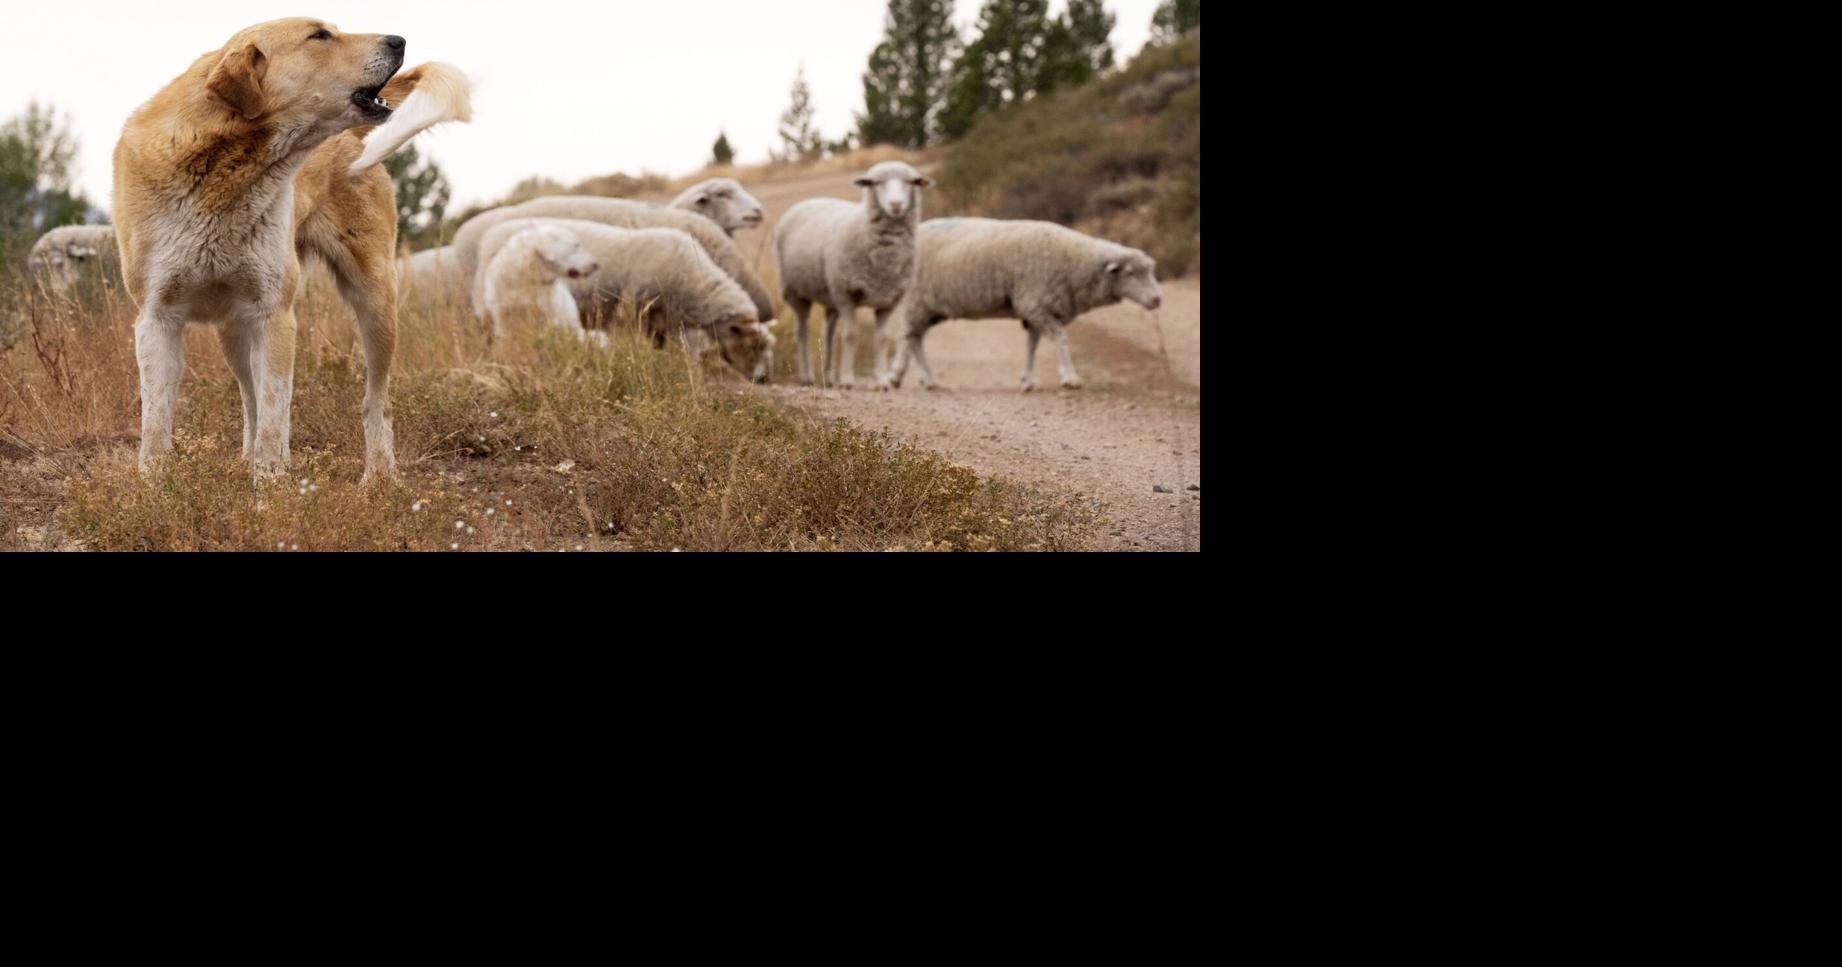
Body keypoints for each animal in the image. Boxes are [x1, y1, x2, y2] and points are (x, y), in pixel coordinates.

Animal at [474, 218, 775, 382]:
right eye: (752, 347)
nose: (762, 380)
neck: (691, 278)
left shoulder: (671, 316)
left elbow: (682, 349)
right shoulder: (642, 308)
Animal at [772, 161, 932, 390]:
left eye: (912, 182)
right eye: (876, 183)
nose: (896, 204)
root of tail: (807, 200)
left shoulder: (888, 300)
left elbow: (882, 339)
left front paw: (881, 380)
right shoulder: (846, 293)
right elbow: (850, 335)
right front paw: (847, 379)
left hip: (830, 294)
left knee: (827, 332)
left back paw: (828, 376)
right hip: (796, 291)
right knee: (802, 331)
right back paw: (807, 377)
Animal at [888, 219, 1164, 392]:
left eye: (1150, 270)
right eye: (1131, 273)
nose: (1157, 299)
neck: (1074, 261)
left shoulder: (1036, 310)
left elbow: (1032, 344)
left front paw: (1028, 379)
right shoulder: (1034, 303)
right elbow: (1060, 339)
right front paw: (1070, 377)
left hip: (931, 308)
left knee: (914, 339)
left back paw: (916, 378)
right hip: (917, 300)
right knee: (909, 337)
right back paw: (915, 378)